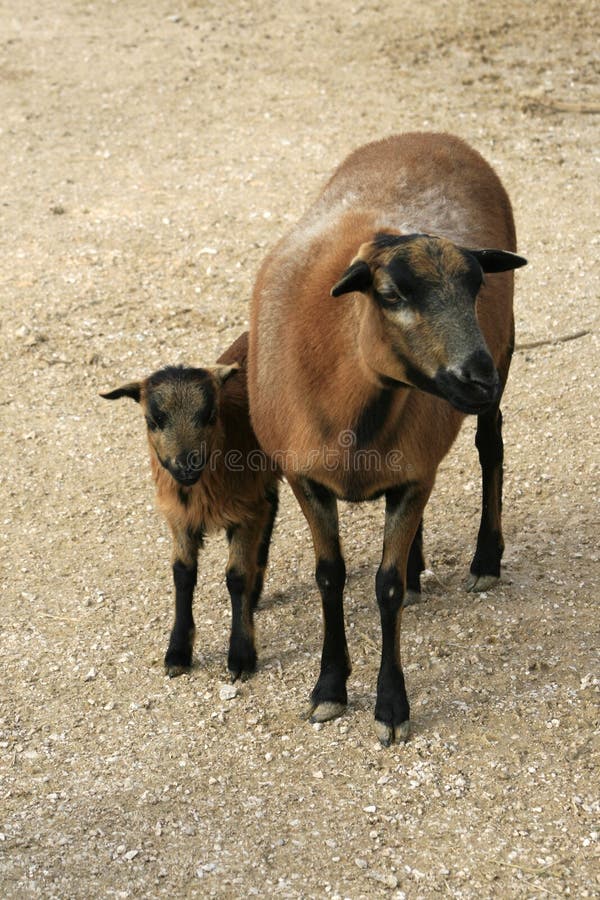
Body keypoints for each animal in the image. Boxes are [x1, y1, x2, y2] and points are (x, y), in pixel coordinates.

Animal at [101, 332, 279, 680]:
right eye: (153, 420)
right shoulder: (179, 517)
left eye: (210, 415)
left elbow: (237, 576)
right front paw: (178, 652)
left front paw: (241, 656)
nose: (186, 465)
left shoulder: (245, 511)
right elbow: (182, 573)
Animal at [248, 132, 527, 744]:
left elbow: (386, 587)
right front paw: (329, 688)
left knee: (491, 449)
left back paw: (485, 561)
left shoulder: (415, 475)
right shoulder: (306, 478)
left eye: (476, 287)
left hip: (506, 350)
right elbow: (331, 578)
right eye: (392, 295)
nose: (479, 379)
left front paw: (391, 706)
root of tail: (433, 134)